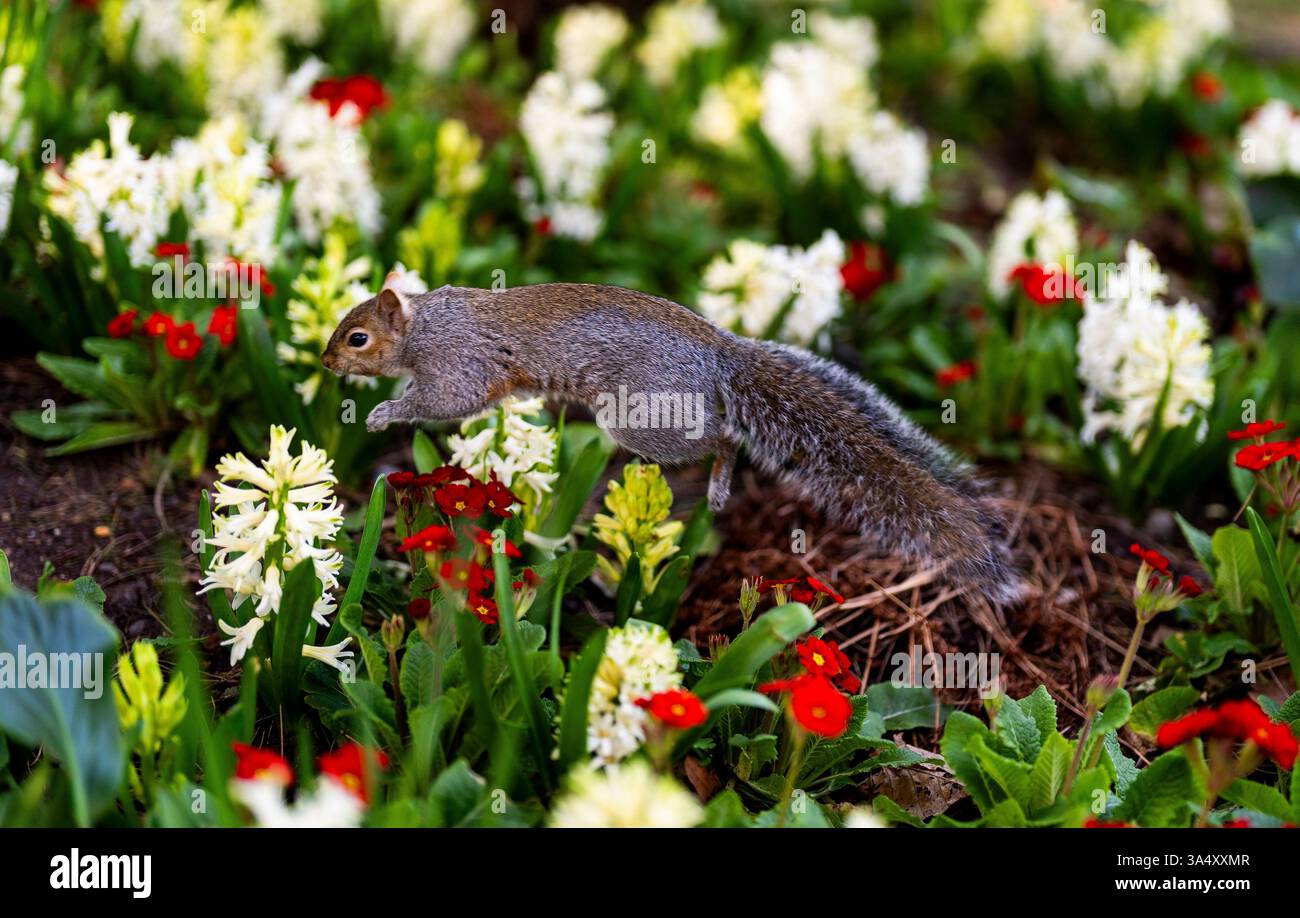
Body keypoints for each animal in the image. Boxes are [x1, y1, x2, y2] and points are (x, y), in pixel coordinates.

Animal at [322, 278, 1020, 603]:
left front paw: (385, 412)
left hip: (642, 420)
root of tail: (719, 355)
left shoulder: (458, 366)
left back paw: (717, 483)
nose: (327, 363)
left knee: (723, 436)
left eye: (357, 337)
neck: (422, 327)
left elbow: (444, 402)